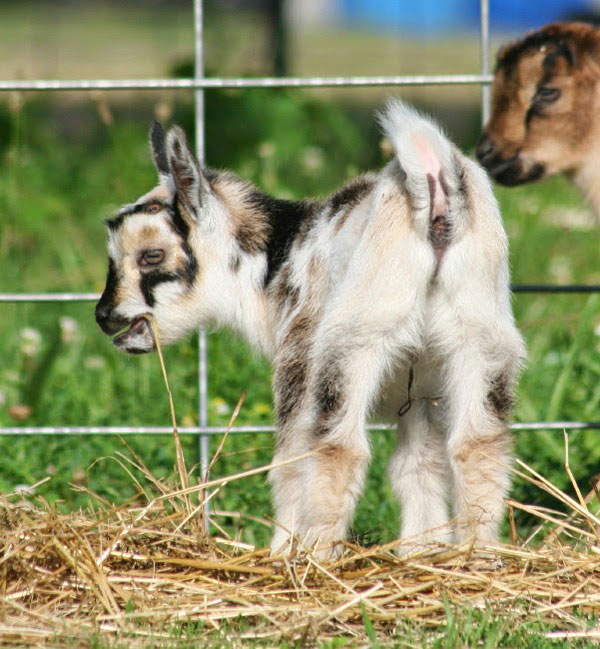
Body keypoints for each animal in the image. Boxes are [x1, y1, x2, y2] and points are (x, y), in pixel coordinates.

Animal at [96, 100, 525, 557]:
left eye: (151, 255)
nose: (103, 315)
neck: (278, 257)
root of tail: (434, 186)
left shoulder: (298, 360)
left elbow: (290, 462)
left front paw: (283, 550)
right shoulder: (421, 388)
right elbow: (418, 465)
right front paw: (420, 552)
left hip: (353, 339)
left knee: (340, 446)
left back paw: (317, 553)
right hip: (481, 336)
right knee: (478, 444)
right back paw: (480, 556)